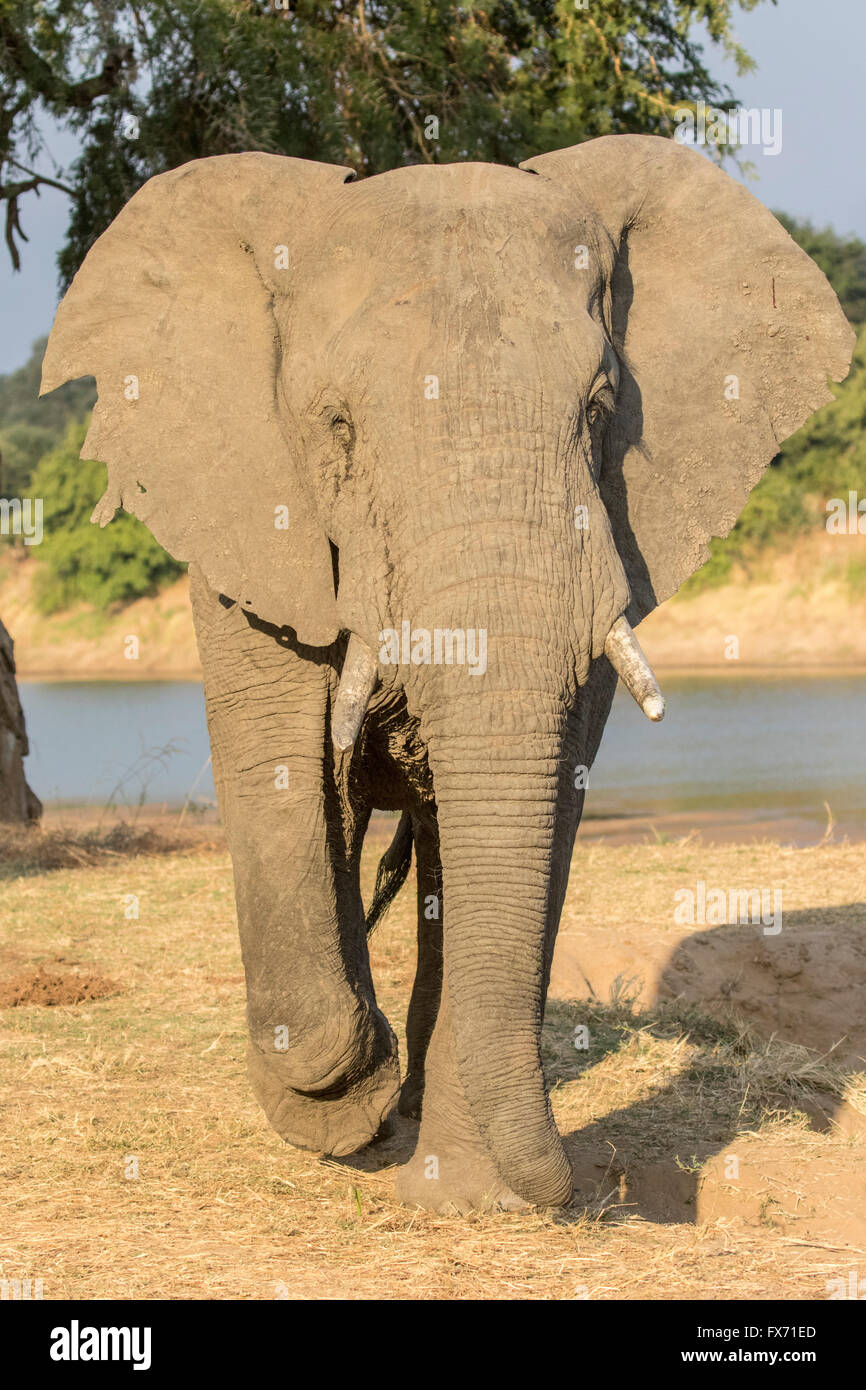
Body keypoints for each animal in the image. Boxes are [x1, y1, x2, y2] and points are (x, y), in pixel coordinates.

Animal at [41, 135, 853, 1212]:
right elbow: (288, 778)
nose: (589, 1187)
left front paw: (466, 1198)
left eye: (600, 411)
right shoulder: (246, 530)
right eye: (335, 425)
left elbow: (540, 807)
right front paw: (344, 1095)